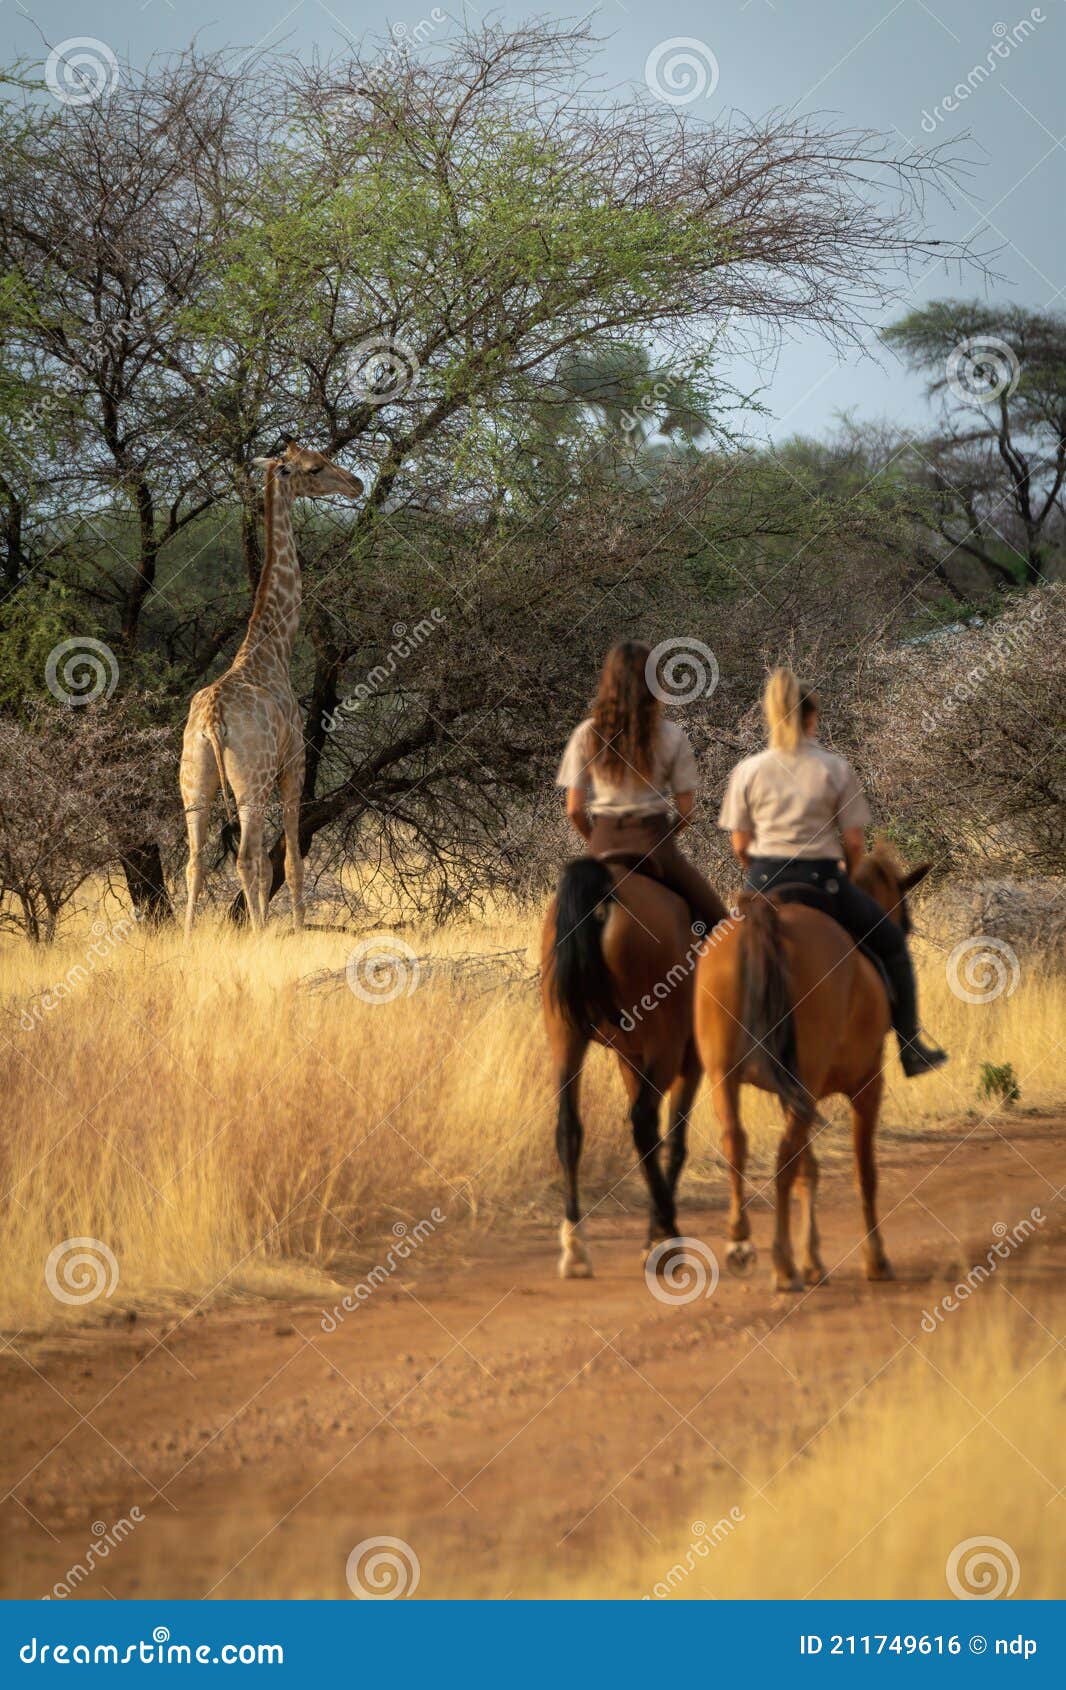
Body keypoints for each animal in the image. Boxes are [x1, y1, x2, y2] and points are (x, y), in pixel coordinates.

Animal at [180, 439, 364, 937]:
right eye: (315, 467)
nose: (356, 483)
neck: (275, 646)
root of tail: (212, 722)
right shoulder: (294, 763)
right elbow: (293, 860)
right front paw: (297, 928)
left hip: (193, 781)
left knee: (195, 860)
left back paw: (188, 936)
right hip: (252, 780)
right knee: (246, 858)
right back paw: (259, 933)